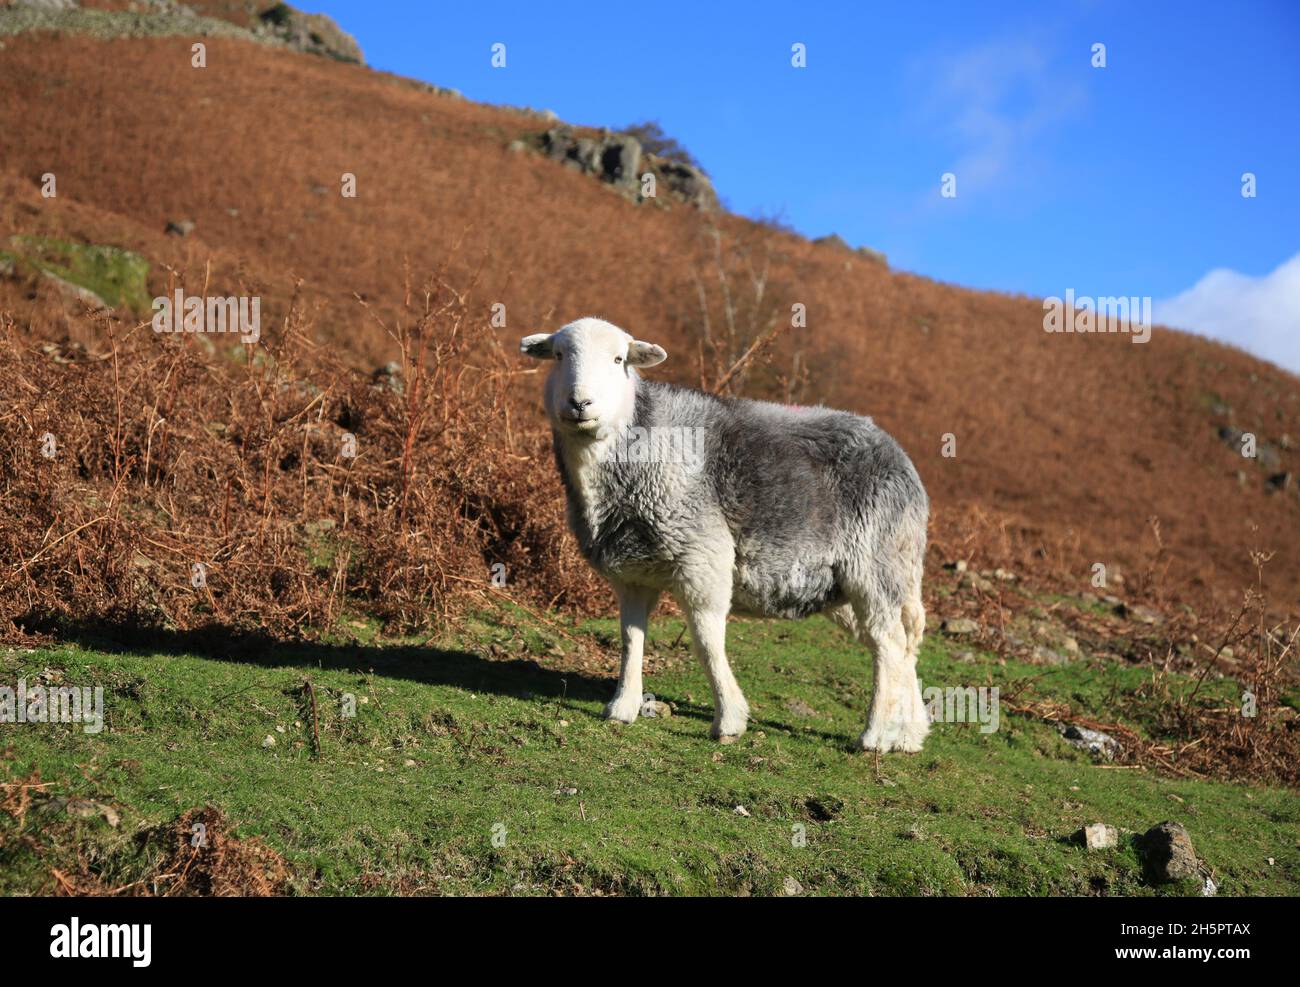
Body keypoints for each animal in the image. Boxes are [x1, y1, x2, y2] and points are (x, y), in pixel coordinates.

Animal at [520, 317, 931, 752]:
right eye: (559, 355)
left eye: (619, 359)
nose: (580, 403)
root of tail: (899, 457)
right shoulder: (632, 573)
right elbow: (631, 638)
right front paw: (621, 708)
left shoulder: (703, 555)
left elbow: (705, 640)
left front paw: (729, 720)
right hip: (850, 583)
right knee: (902, 646)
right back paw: (908, 735)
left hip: (874, 561)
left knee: (888, 643)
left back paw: (874, 735)